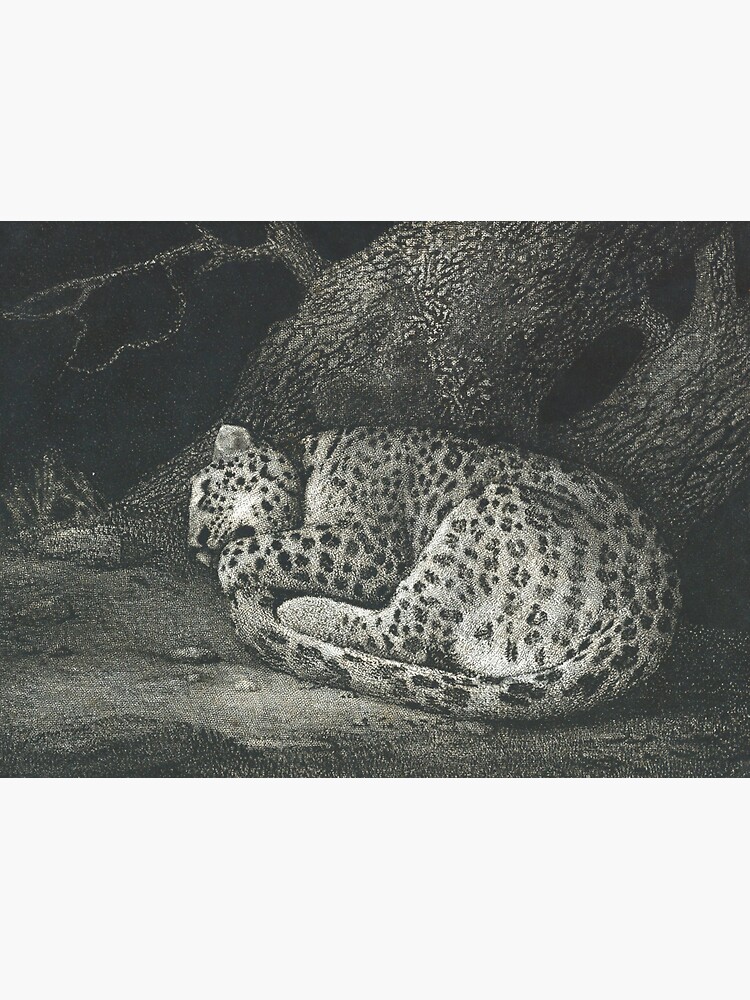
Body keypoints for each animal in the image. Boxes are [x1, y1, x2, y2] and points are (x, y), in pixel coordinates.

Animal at [188, 423, 681, 721]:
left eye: (204, 493)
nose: (195, 548)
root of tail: (654, 610)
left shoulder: (369, 547)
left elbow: (273, 546)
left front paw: (232, 565)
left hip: (480, 520)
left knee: (405, 632)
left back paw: (297, 609)